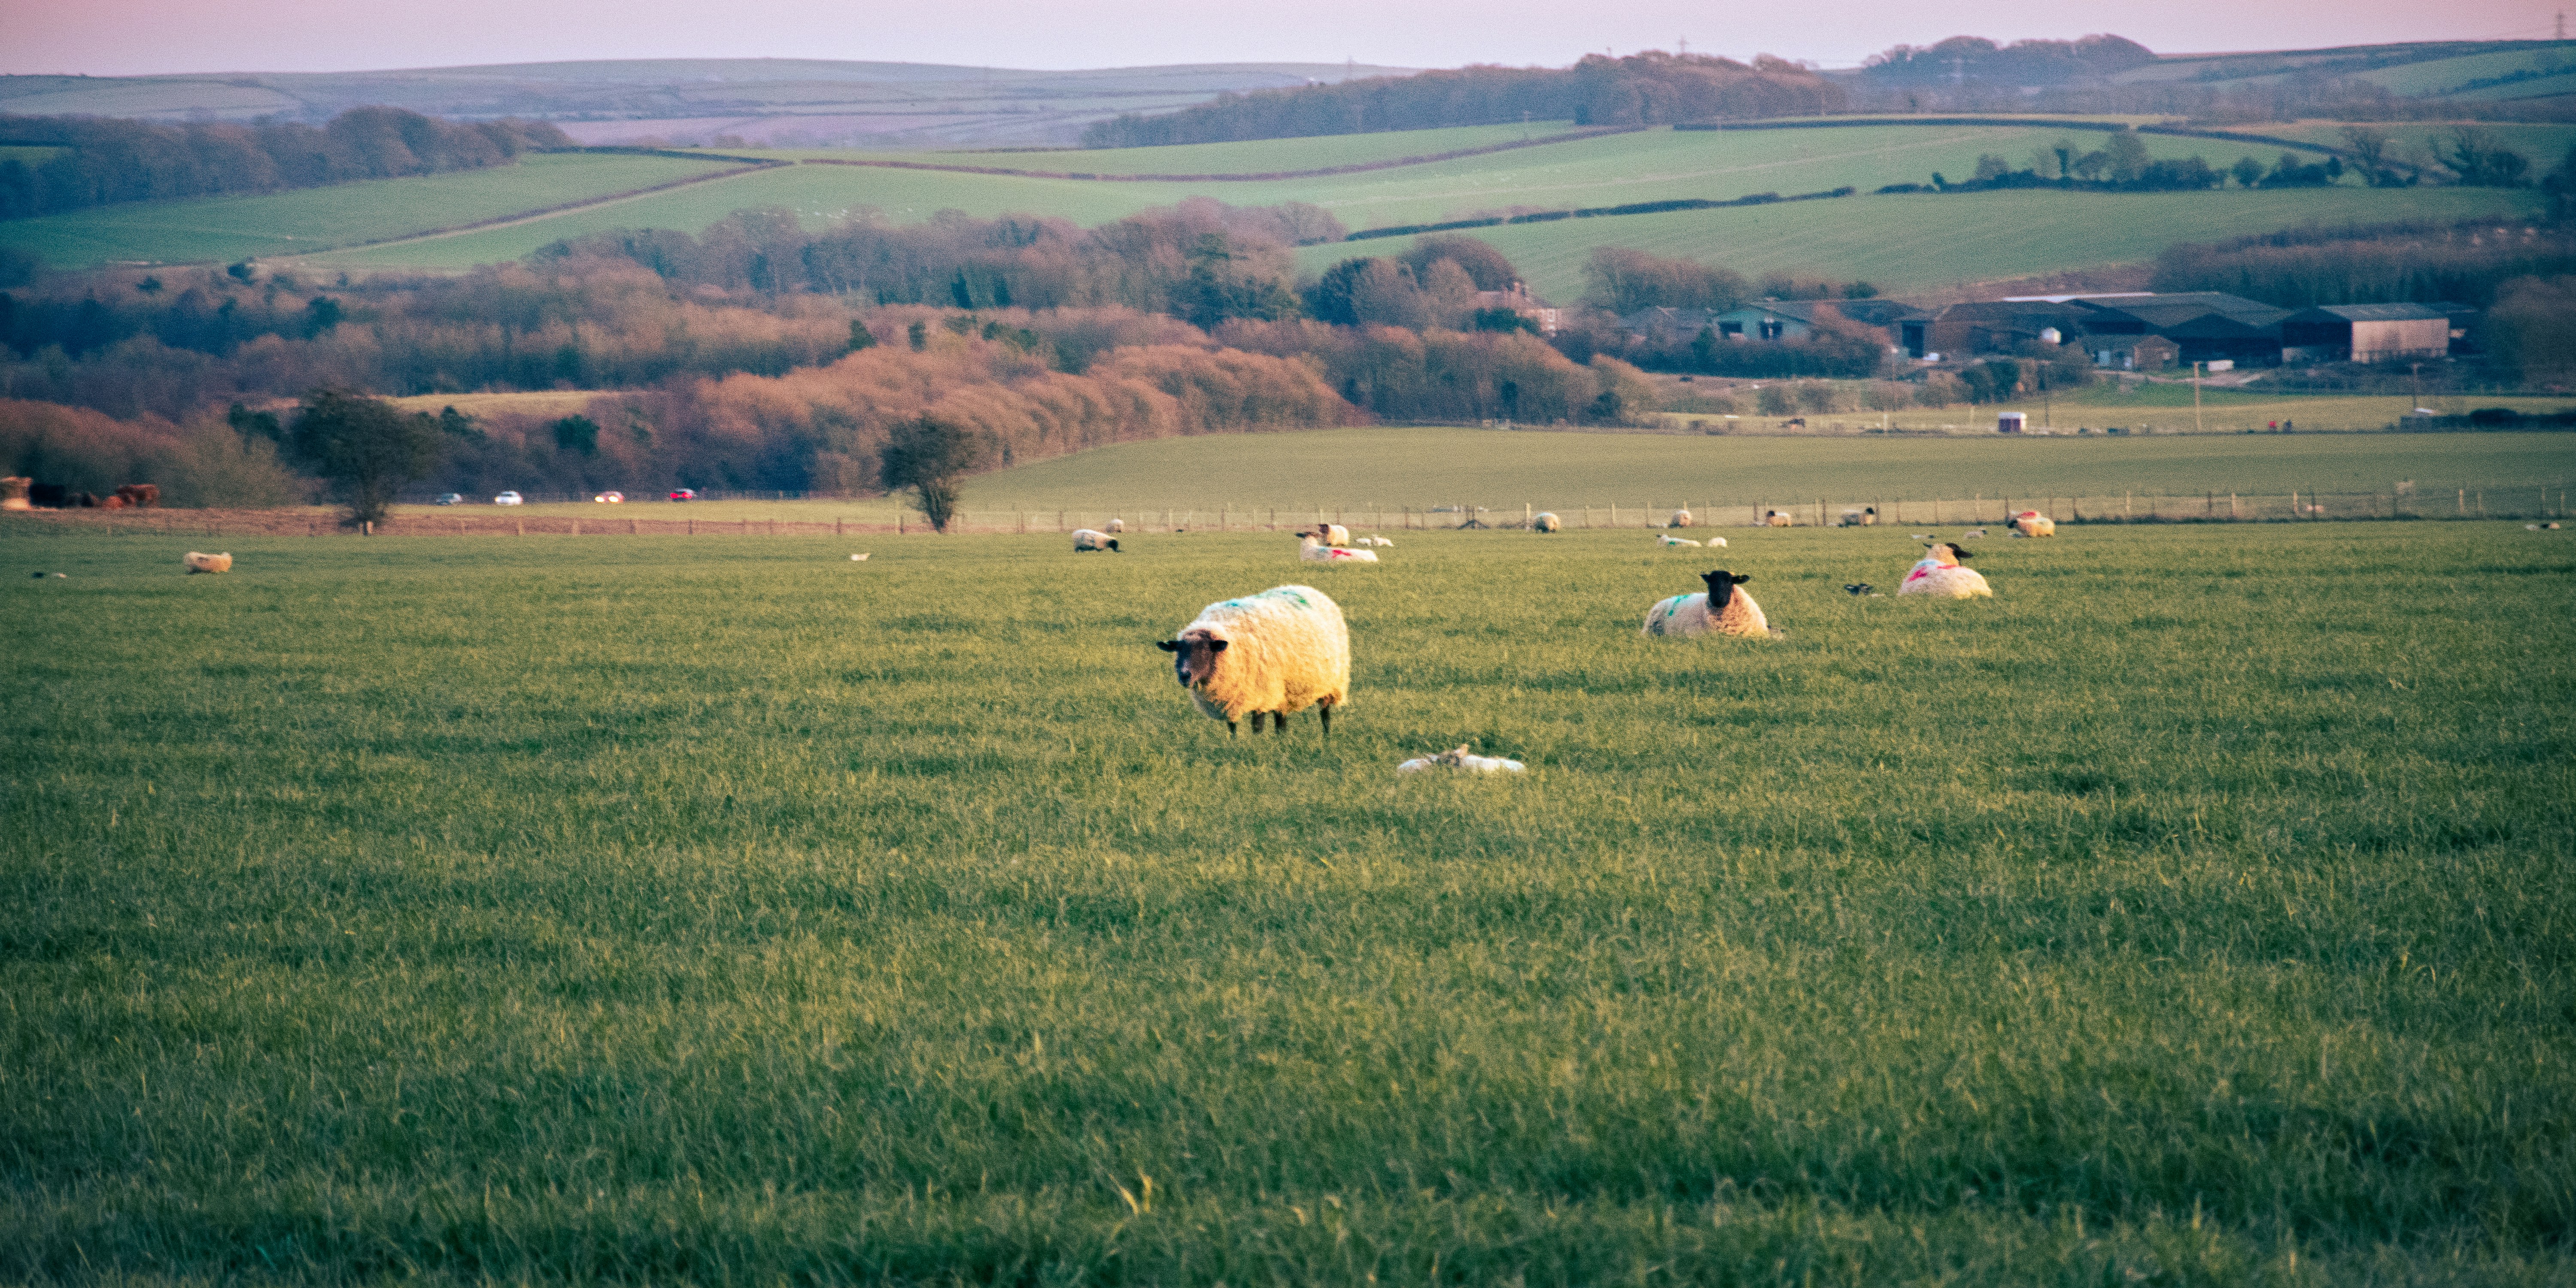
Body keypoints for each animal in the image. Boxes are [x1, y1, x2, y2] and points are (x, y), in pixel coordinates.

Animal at [1155, 583, 1349, 737]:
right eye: (1179, 651)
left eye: (1205, 651)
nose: (1184, 676)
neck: (1232, 647)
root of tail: (1310, 589)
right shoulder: (1231, 699)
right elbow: (1232, 727)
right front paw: (1234, 746)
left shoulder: (1261, 694)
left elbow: (1257, 726)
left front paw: (1257, 746)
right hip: (1284, 690)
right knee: (1281, 717)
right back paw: (1282, 740)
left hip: (1332, 683)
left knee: (1325, 714)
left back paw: (1326, 738)